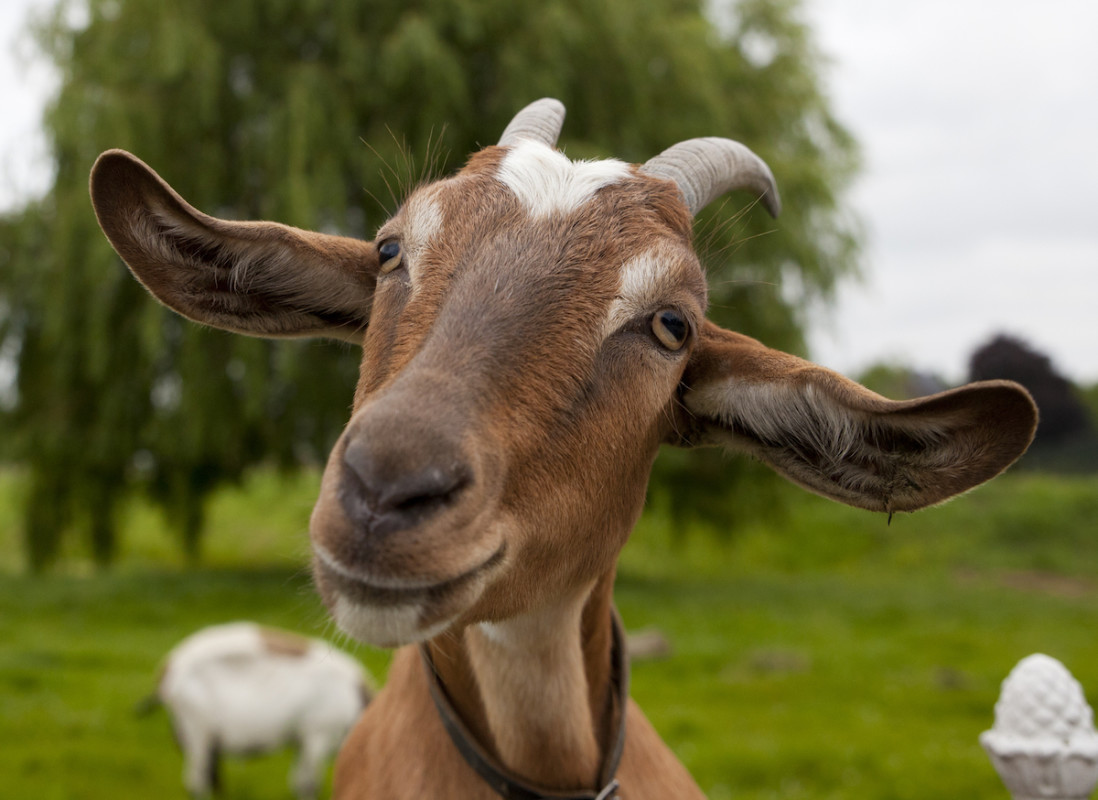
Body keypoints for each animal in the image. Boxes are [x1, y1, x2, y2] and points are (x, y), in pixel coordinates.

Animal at [146, 622, 371, 799]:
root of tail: (169, 670)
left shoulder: (302, 741)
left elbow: (297, 781)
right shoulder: (318, 737)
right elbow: (308, 784)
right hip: (196, 730)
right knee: (196, 780)